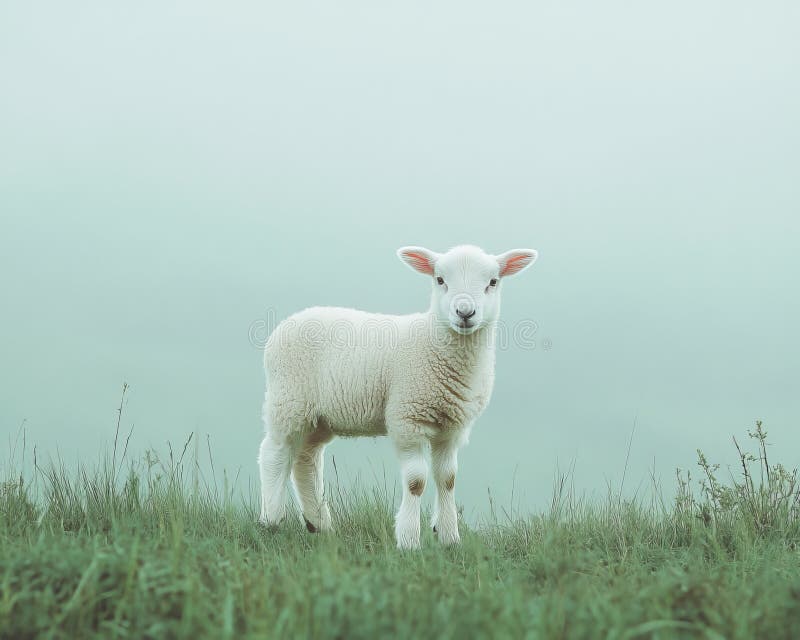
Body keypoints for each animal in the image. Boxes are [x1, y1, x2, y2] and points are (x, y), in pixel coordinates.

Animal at [257, 244, 538, 549]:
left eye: (493, 282)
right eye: (440, 279)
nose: (465, 312)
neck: (434, 345)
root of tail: (289, 321)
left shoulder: (452, 427)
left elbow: (447, 478)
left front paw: (449, 538)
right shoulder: (407, 418)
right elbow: (416, 481)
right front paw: (408, 540)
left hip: (319, 417)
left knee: (305, 460)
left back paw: (318, 523)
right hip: (289, 400)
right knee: (274, 452)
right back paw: (271, 518)